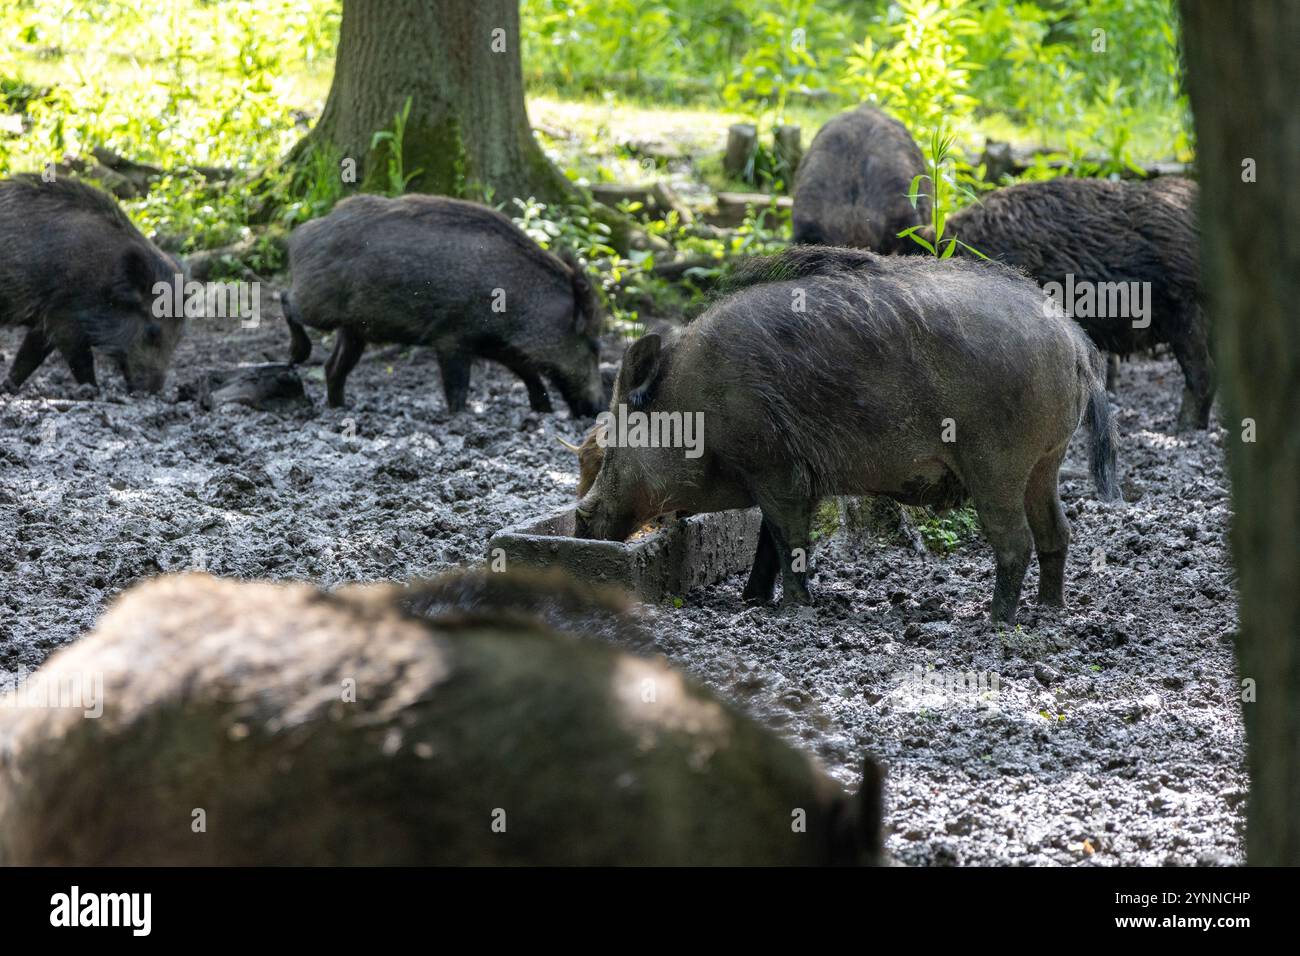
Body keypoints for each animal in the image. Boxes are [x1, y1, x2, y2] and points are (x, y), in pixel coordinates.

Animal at [0, 175, 185, 393]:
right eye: (152, 332)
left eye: (178, 337)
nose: (154, 390)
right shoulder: (63, 318)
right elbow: (81, 359)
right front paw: (92, 391)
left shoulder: (44, 323)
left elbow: (29, 357)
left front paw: (9, 387)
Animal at [282, 195, 605, 415]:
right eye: (594, 346)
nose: (599, 409)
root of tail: (301, 233)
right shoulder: (452, 337)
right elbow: (458, 386)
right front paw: (459, 415)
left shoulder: (495, 343)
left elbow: (528, 371)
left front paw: (543, 410)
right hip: (318, 305)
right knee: (287, 302)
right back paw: (297, 355)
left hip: (355, 330)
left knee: (332, 367)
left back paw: (341, 407)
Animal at [576, 246, 1120, 624]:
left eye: (612, 446)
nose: (581, 519)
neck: (698, 403)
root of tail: (1077, 345)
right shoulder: (791, 475)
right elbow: (769, 542)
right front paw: (752, 599)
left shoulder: (775, 467)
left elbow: (789, 539)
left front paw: (791, 611)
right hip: (1046, 460)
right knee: (1057, 532)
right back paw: (1049, 610)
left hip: (997, 463)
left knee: (1016, 542)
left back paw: (995, 621)